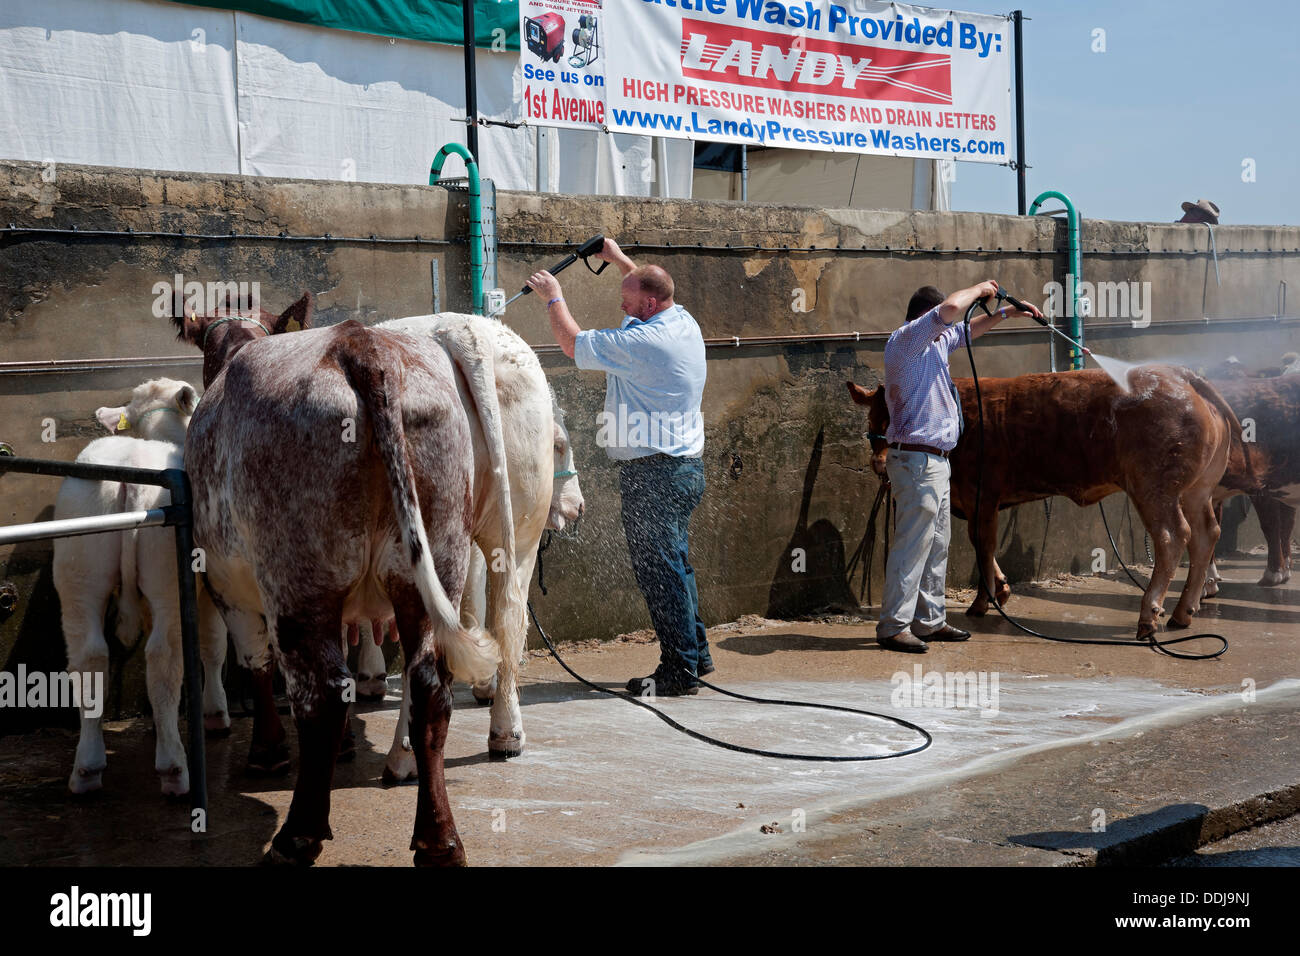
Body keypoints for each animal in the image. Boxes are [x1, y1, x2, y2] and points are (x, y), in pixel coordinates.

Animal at [53, 378, 228, 796]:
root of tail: (130, 472)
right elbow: (213, 646)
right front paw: (215, 713)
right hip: (169, 578)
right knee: (164, 657)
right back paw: (174, 768)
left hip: (79, 569)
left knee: (89, 657)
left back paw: (87, 767)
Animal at [848, 366, 1244, 640]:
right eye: (873, 418)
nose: (880, 464)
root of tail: (1181, 376)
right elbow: (983, 545)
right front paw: (1001, 588)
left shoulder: (982, 495)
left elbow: (983, 544)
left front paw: (984, 601)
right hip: (1195, 491)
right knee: (1206, 535)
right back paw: (1183, 611)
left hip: (1154, 489)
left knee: (1172, 537)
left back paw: (1150, 615)